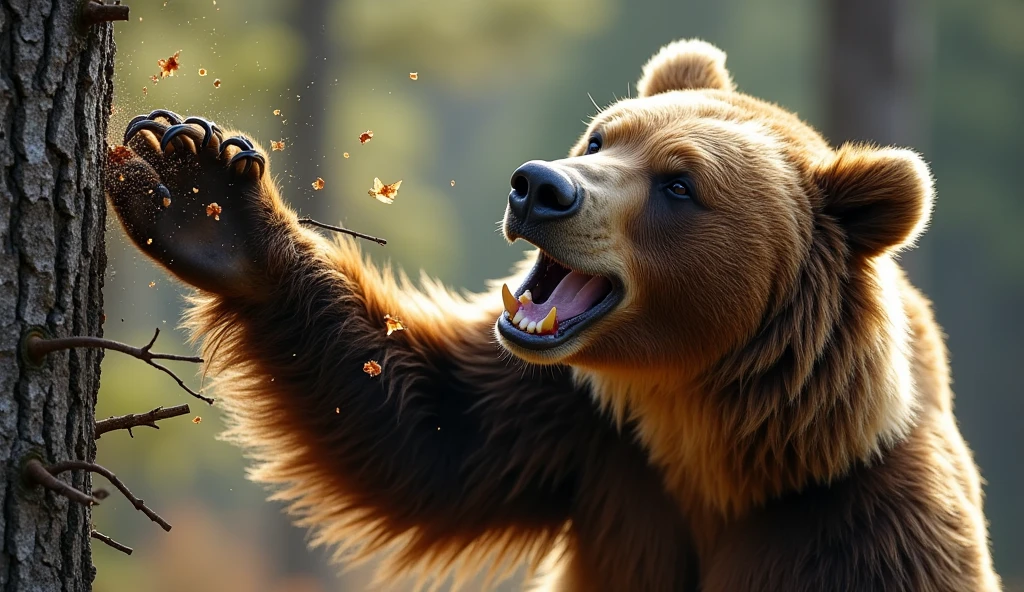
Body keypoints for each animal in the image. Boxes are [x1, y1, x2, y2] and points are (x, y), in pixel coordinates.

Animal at [104, 39, 1001, 591]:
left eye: (680, 183)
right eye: (603, 136)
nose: (539, 186)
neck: (703, 436)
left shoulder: (849, 520)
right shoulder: (580, 428)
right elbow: (421, 429)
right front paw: (196, 181)